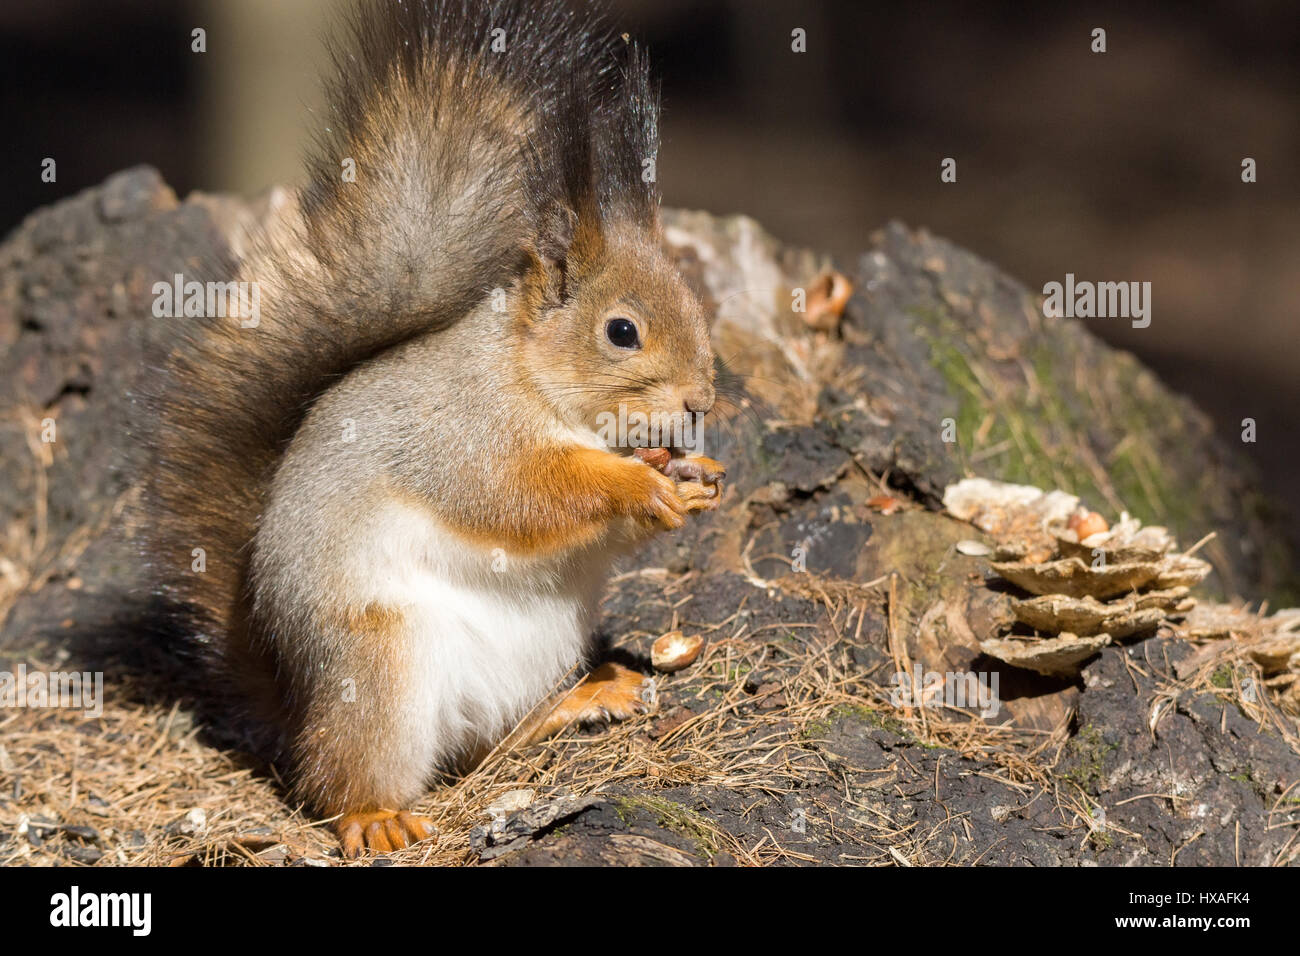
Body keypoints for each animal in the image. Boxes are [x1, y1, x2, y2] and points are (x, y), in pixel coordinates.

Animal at [142, 0, 725, 858]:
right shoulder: (462, 435)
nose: (699, 405)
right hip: (380, 664)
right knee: (336, 778)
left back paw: (578, 702)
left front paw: (693, 479)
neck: (528, 375)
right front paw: (638, 484)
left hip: (535, 653)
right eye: (622, 331)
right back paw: (373, 815)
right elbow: (520, 495)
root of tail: (293, 693)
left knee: (488, 749)